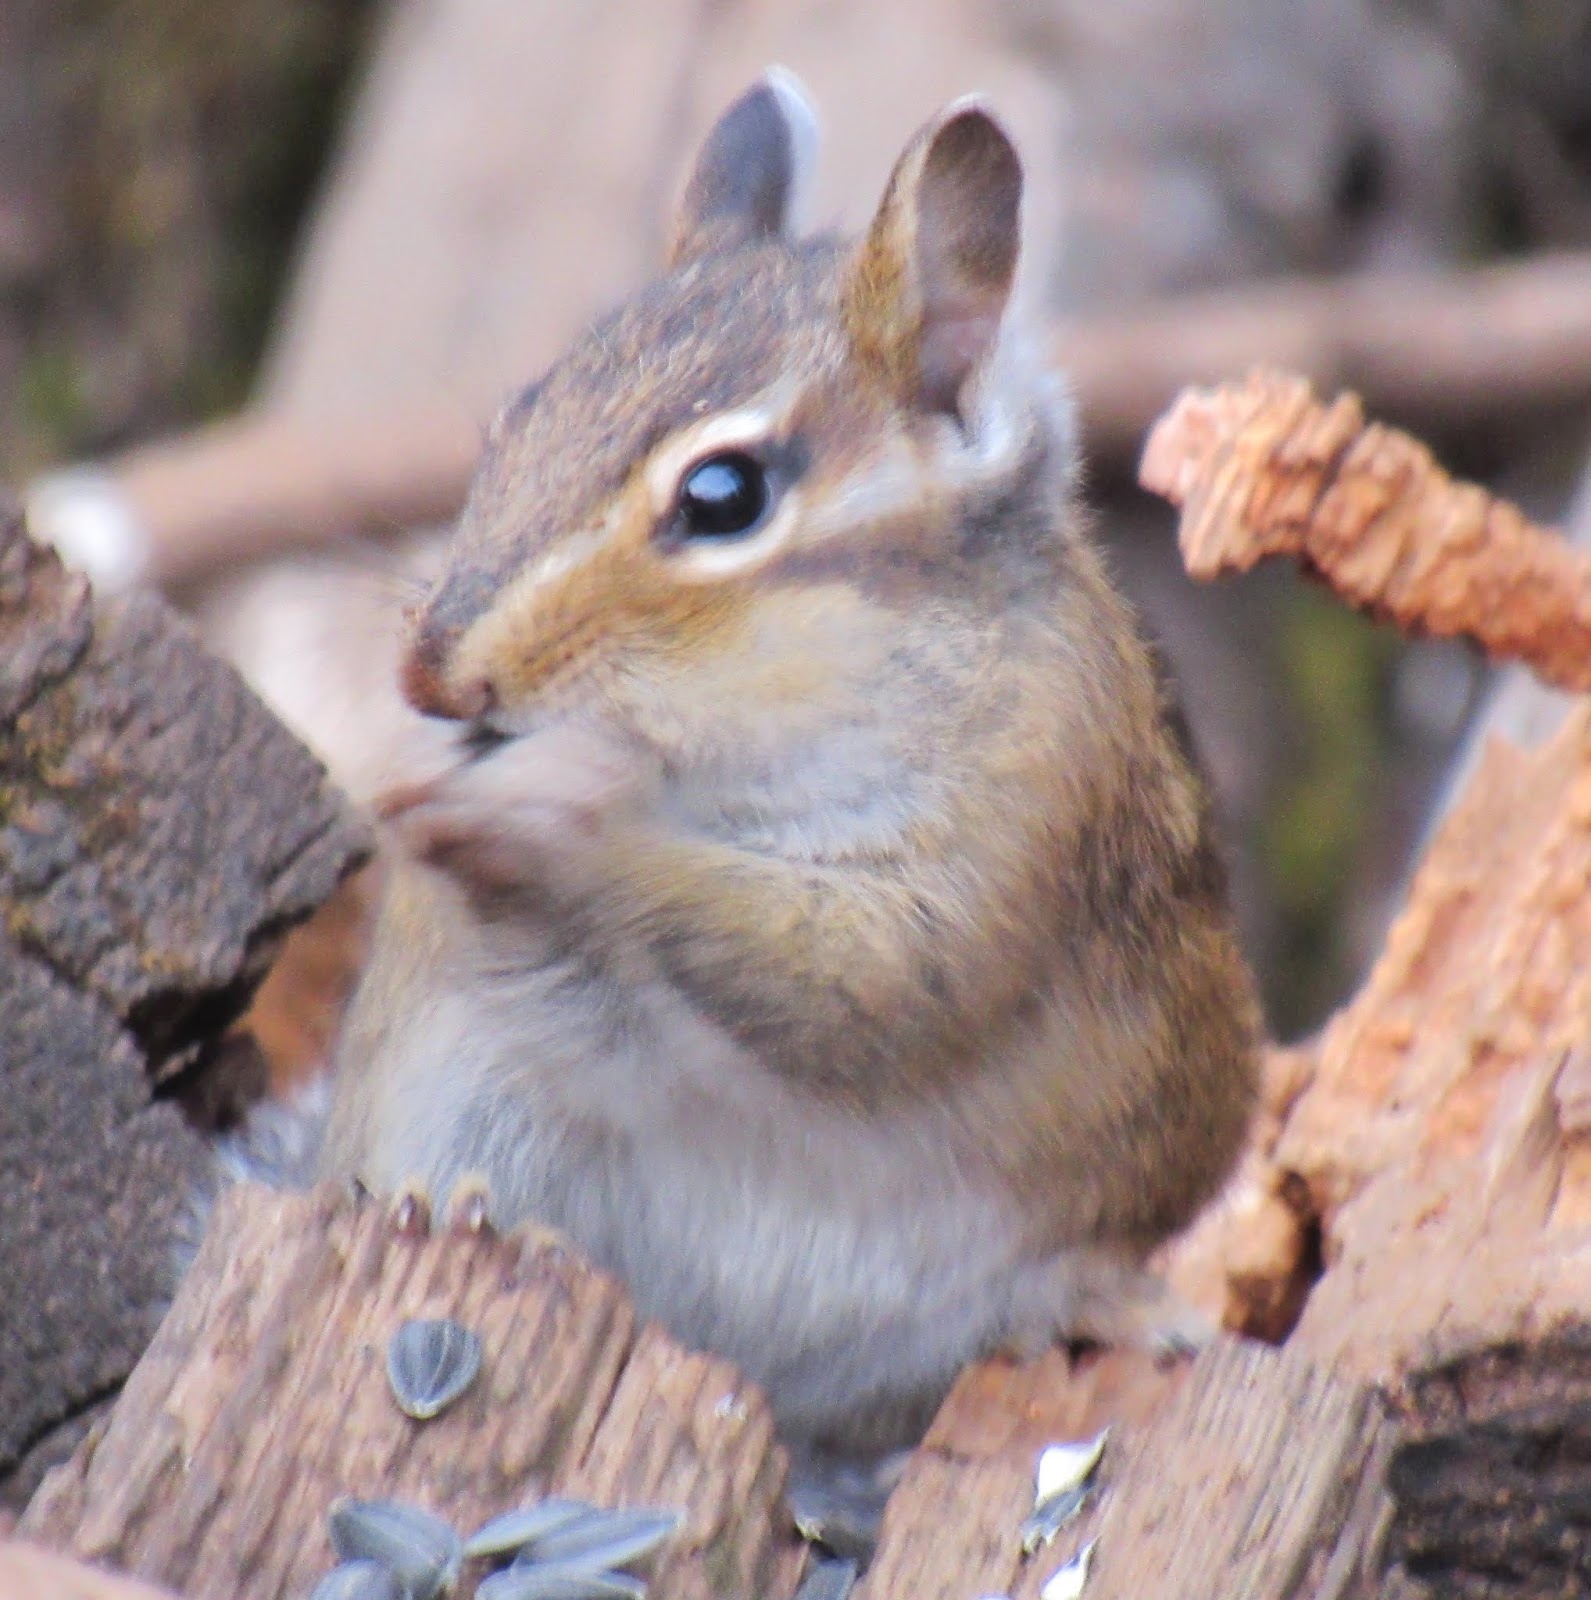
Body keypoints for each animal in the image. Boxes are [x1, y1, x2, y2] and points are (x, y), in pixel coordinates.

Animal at [319, 69, 1262, 1461]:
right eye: (514, 418)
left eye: (723, 495)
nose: (434, 679)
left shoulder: (1023, 812)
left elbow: (869, 977)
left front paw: (554, 816)